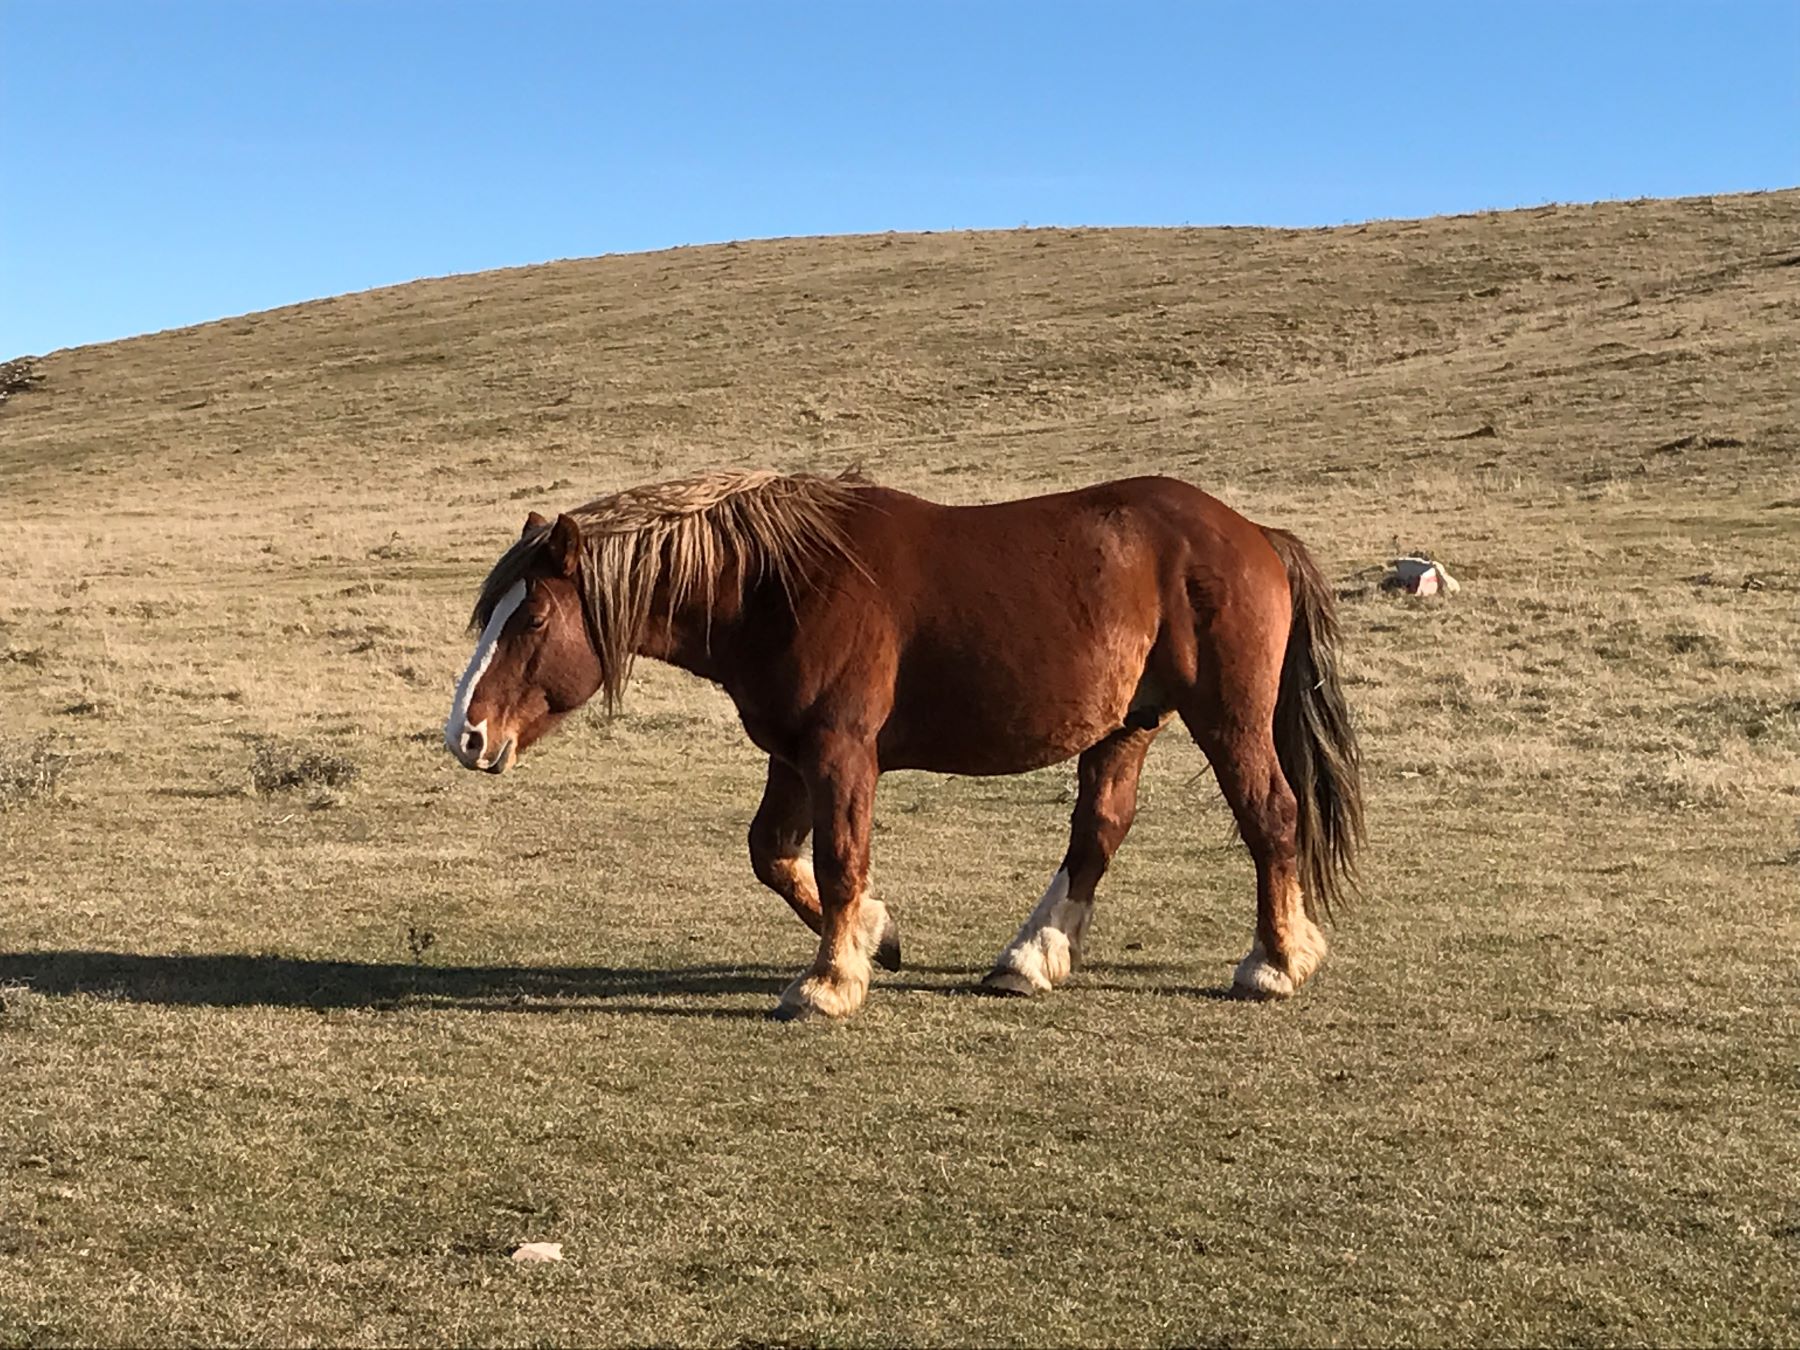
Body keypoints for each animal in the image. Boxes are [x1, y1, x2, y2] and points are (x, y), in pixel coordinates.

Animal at [445, 469, 1363, 1021]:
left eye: (531, 617)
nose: (467, 734)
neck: (779, 585)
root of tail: (1254, 533)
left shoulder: (841, 752)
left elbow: (837, 858)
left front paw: (828, 980)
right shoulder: (792, 754)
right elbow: (772, 854)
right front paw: (875, 936)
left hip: (1228, 718)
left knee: (1270, 815)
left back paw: (1276, 961)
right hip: (1126, 725)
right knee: (1098, 831)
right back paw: (1029, 957)